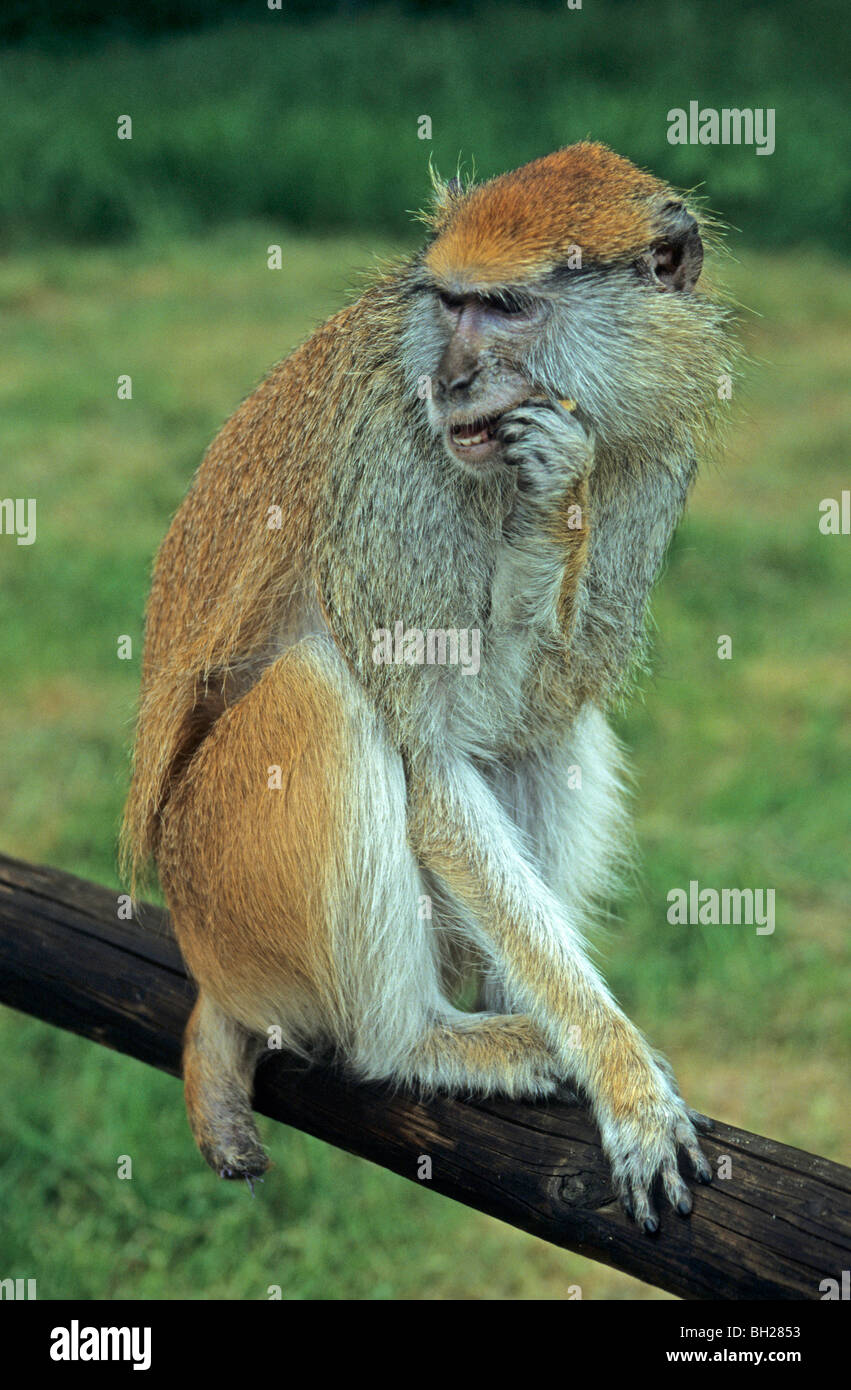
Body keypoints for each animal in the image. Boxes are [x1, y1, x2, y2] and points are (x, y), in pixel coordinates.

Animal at [121, 141, 733, 1234]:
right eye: (451, 304)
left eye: (507, 309)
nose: (450, 379)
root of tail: (205, 963)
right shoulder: (395, 472)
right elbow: (435, 764)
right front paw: (623, 1082)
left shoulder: (655, 459)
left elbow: (532, 703)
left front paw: (555, 501)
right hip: (222, 888)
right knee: (326, 690)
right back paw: (415, 1040)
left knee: (551, 733)